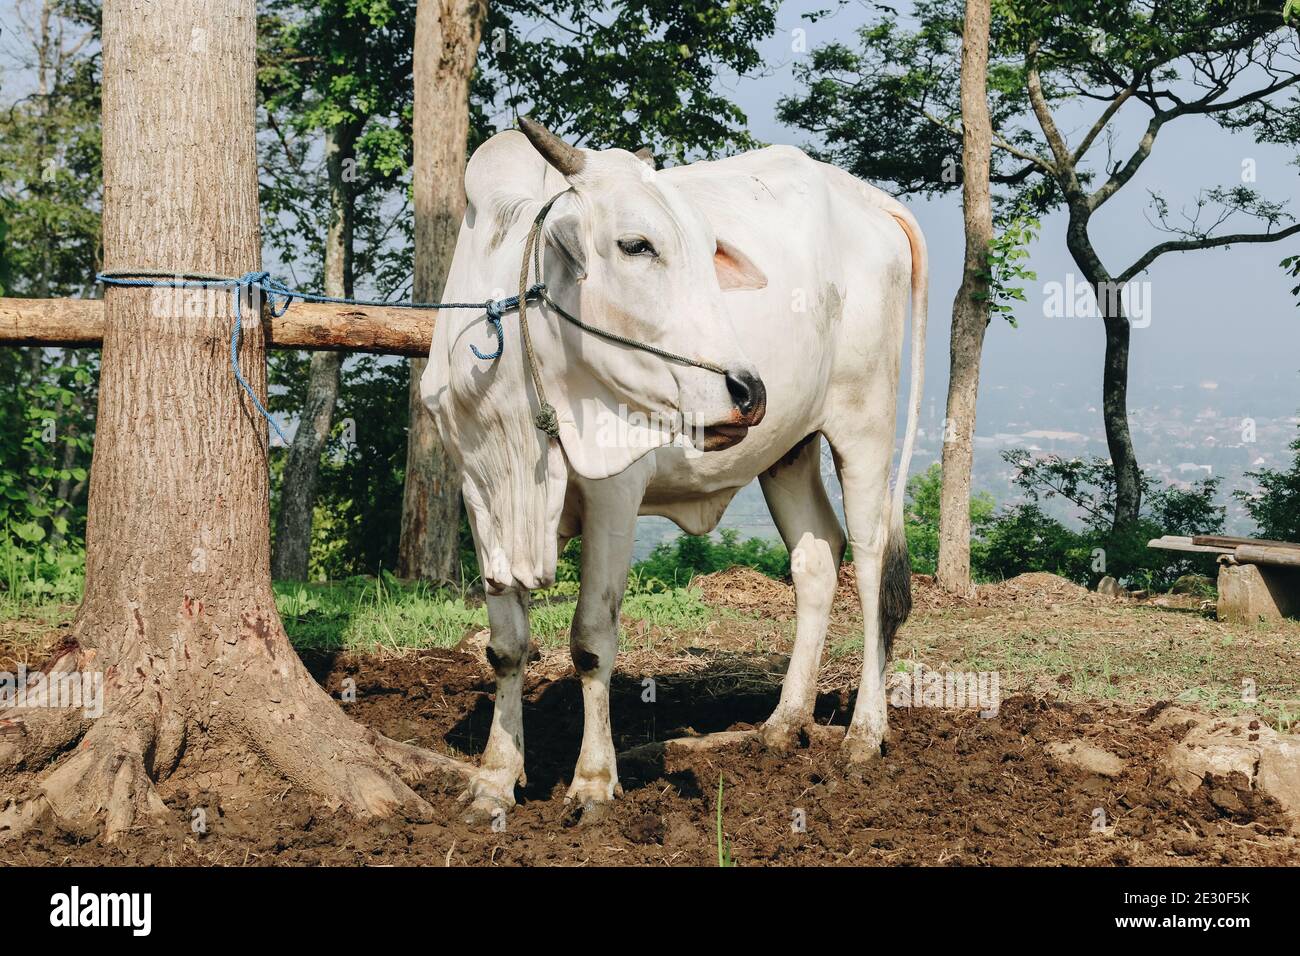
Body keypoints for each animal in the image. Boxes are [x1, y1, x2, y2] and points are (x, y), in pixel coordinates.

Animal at [421, 118, 927, 820]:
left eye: (707, 250)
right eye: (636, 245)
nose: (747, 390)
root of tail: (865, 198)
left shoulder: (615, 489)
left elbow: (591, 639)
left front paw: (594, 783)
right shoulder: (481, 492)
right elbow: (506, 645)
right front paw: (496, 779)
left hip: (865, 423)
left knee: (875, 561)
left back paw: (864, 733)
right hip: (790, 449)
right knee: (817, 557)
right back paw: (783, 723)